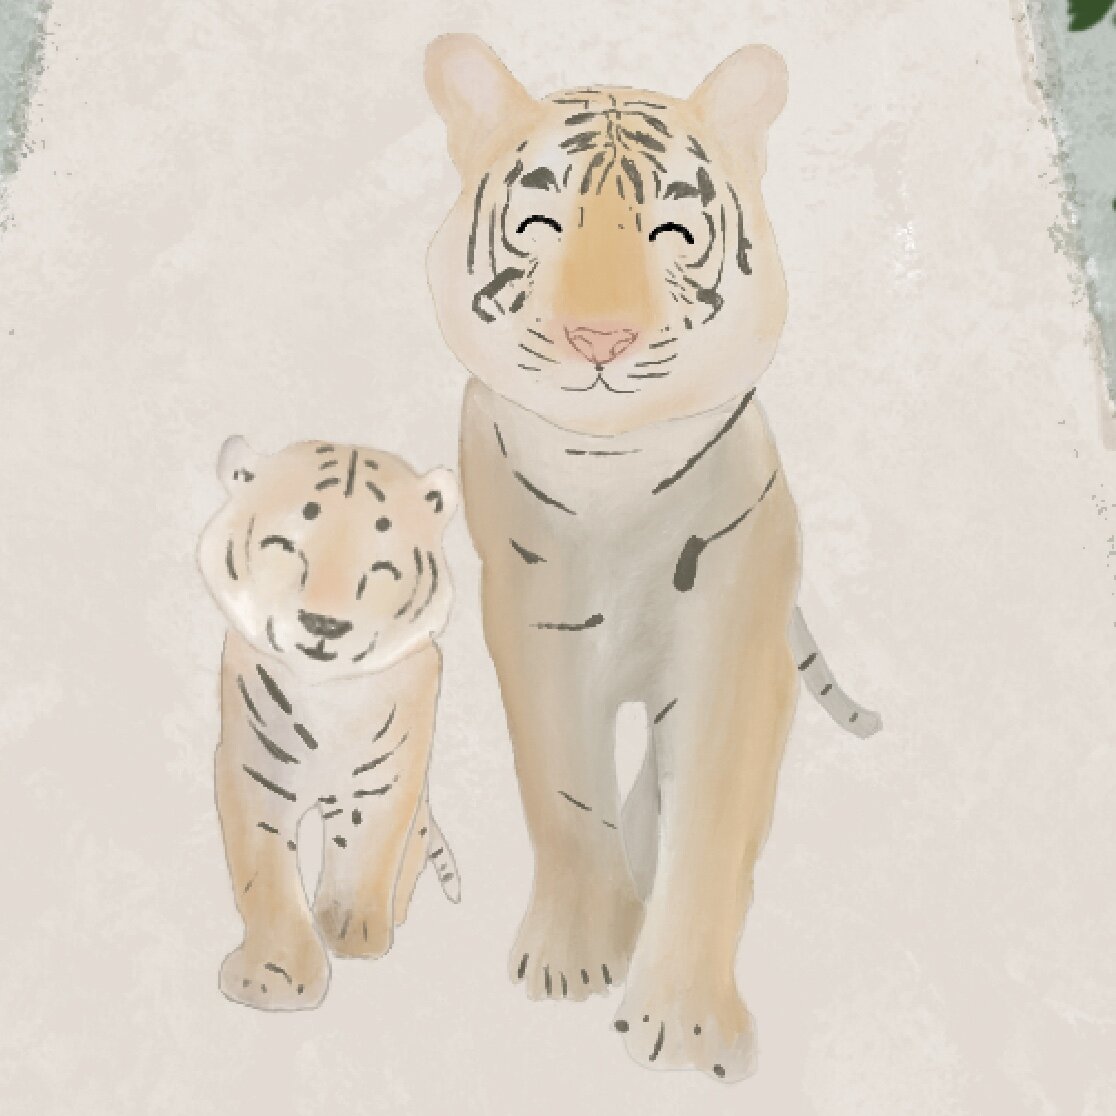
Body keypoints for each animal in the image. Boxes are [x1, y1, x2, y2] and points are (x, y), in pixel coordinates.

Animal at [196, 435, 461, 1011]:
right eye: (284, 545)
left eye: (380, 568)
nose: (324, 624)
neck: (329, 697)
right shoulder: (255, 774)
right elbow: (265, 876)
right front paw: (274, 976)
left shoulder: (390, 778)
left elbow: (368, 852)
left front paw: (352, 930)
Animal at [424, 35, 880, 1079]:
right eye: (541, 223)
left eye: (671, 231)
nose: (602, 337)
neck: (611, 468)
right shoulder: (533, 628)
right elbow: (561, 788)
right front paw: (572, 956)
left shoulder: (733, 646)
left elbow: (710, 819)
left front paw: (685, 1024)